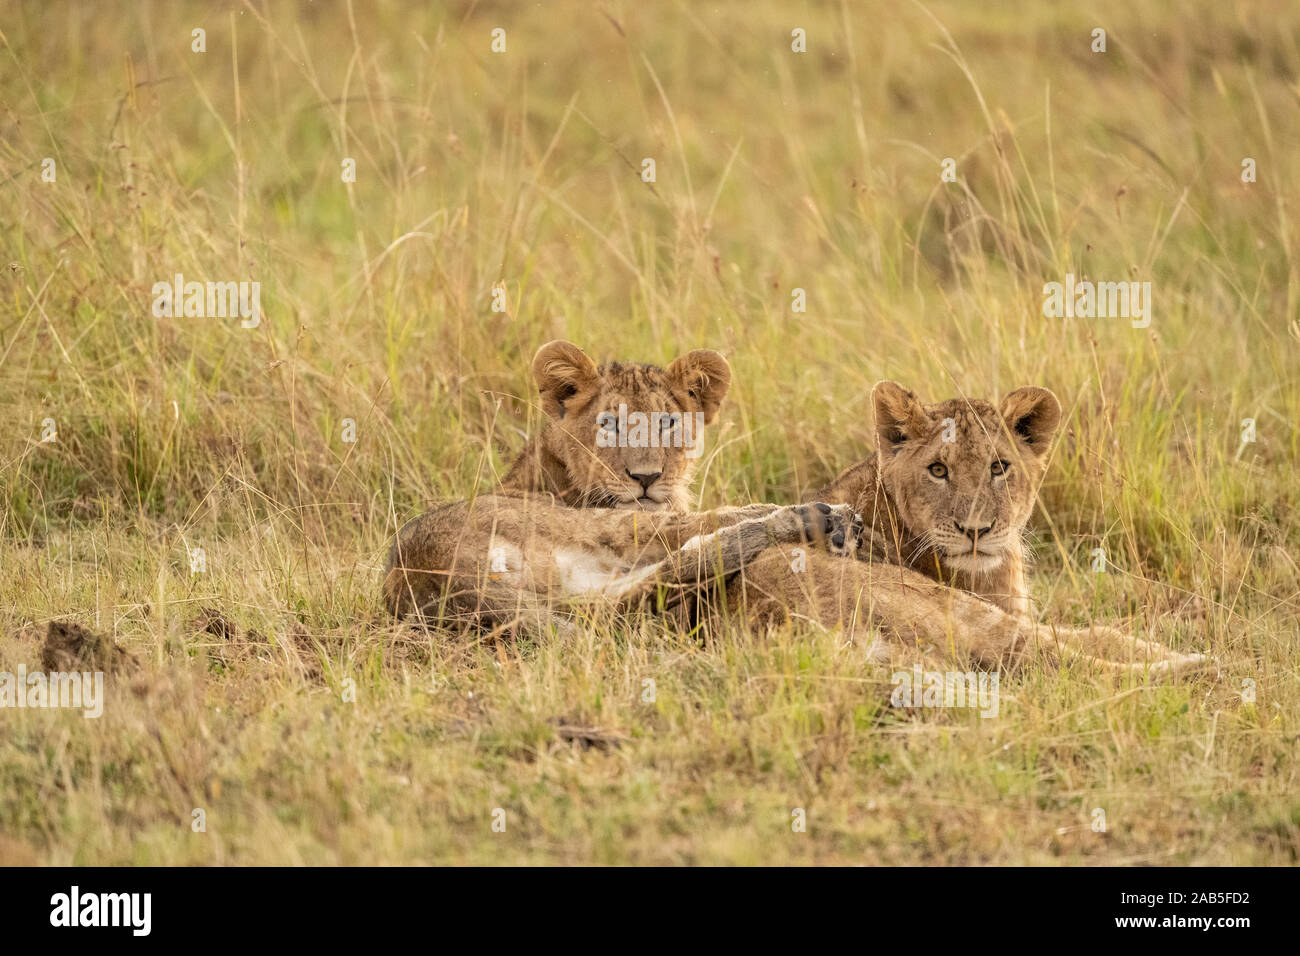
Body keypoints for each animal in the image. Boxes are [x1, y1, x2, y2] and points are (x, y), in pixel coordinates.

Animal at [382, 341, 860, 632]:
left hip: (578, 587)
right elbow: (713, 513)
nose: (646, 478)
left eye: (667, 423)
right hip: (585, 530)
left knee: (636, 595)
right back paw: (813, 520)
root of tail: (423, 572)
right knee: (690, 541)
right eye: (608, 424)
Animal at [725, 381, 1208, 674]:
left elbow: (1101, 633)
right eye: (938, 470)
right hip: (935, 605)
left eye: (999, 467)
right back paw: (1193, 670)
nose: (976, 530)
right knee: (1046, 660)